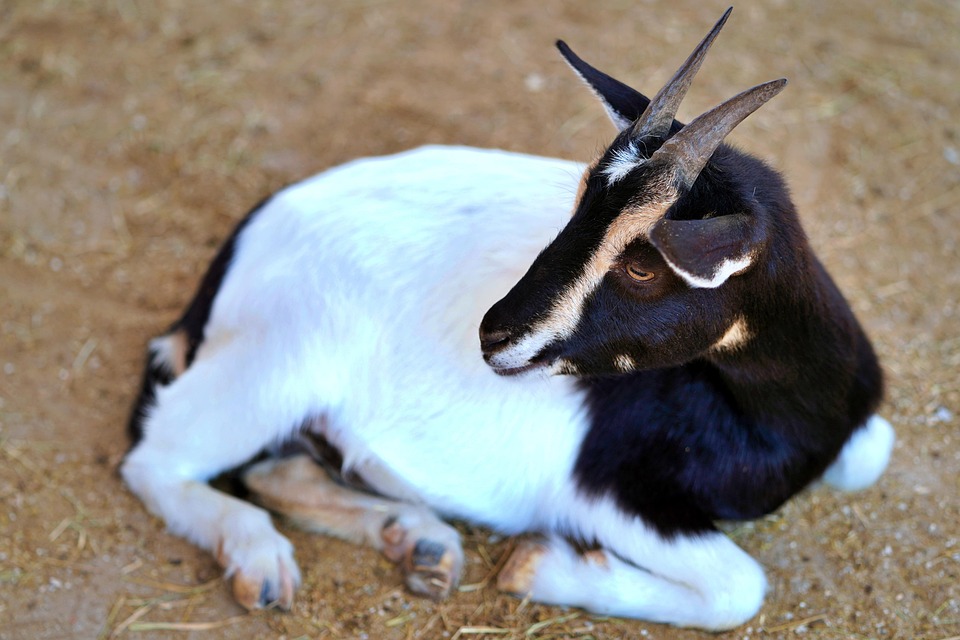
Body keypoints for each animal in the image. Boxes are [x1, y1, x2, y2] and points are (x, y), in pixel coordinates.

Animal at [121, 9, 894, 630]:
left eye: (644, 265)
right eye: (577, 208)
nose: (494, 333)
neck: (782, 419)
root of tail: (241, 247)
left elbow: (870, 452)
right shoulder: (605, 491)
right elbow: (740, 587)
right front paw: (540, 568)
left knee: (272, 468)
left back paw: (419, 541)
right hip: (268, 368)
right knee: (156, 460)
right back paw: (264, 561)